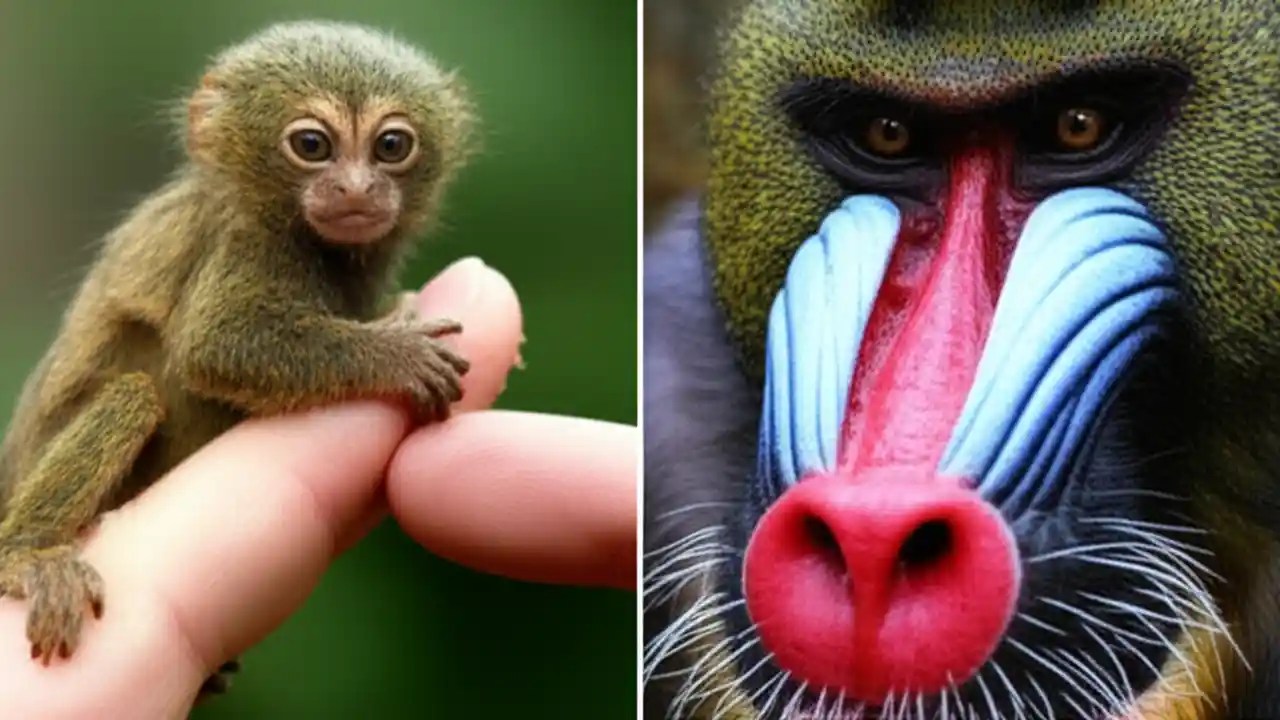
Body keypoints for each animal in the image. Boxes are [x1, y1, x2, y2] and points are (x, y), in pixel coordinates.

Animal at [0, 20, 475, 693]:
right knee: (132, 394)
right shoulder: (247, 241)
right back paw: (27, 555)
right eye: (312, 144)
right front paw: (398, 353)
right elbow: (217, 345)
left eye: (391, 145)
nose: (357, 189)